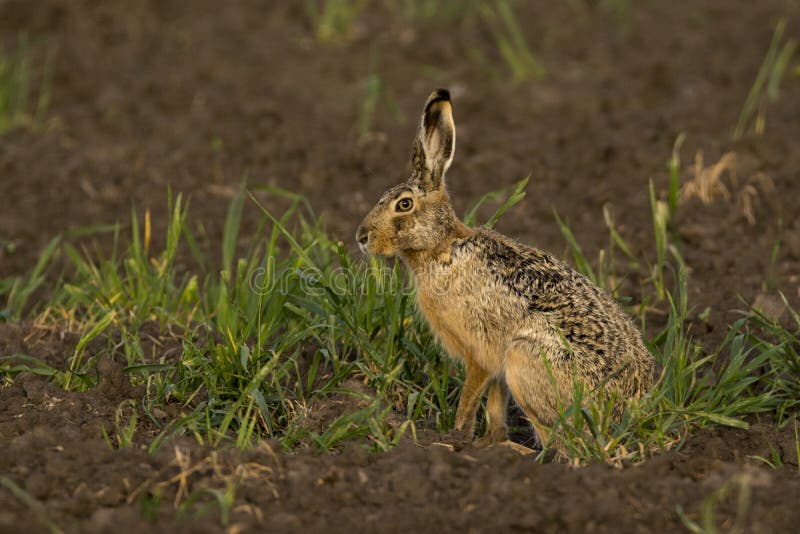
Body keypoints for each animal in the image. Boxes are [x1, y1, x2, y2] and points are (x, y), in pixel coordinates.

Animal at [356, 89, 655, 446]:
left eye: (404, 205)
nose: (361, 237)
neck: (443, 248)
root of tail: (624, 413)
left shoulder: (478, 353)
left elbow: (471, 398)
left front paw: (457, 438)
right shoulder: (495, 368)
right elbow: (495, 404)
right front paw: (491, 442)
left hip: (523, 359)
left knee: (563, 446)